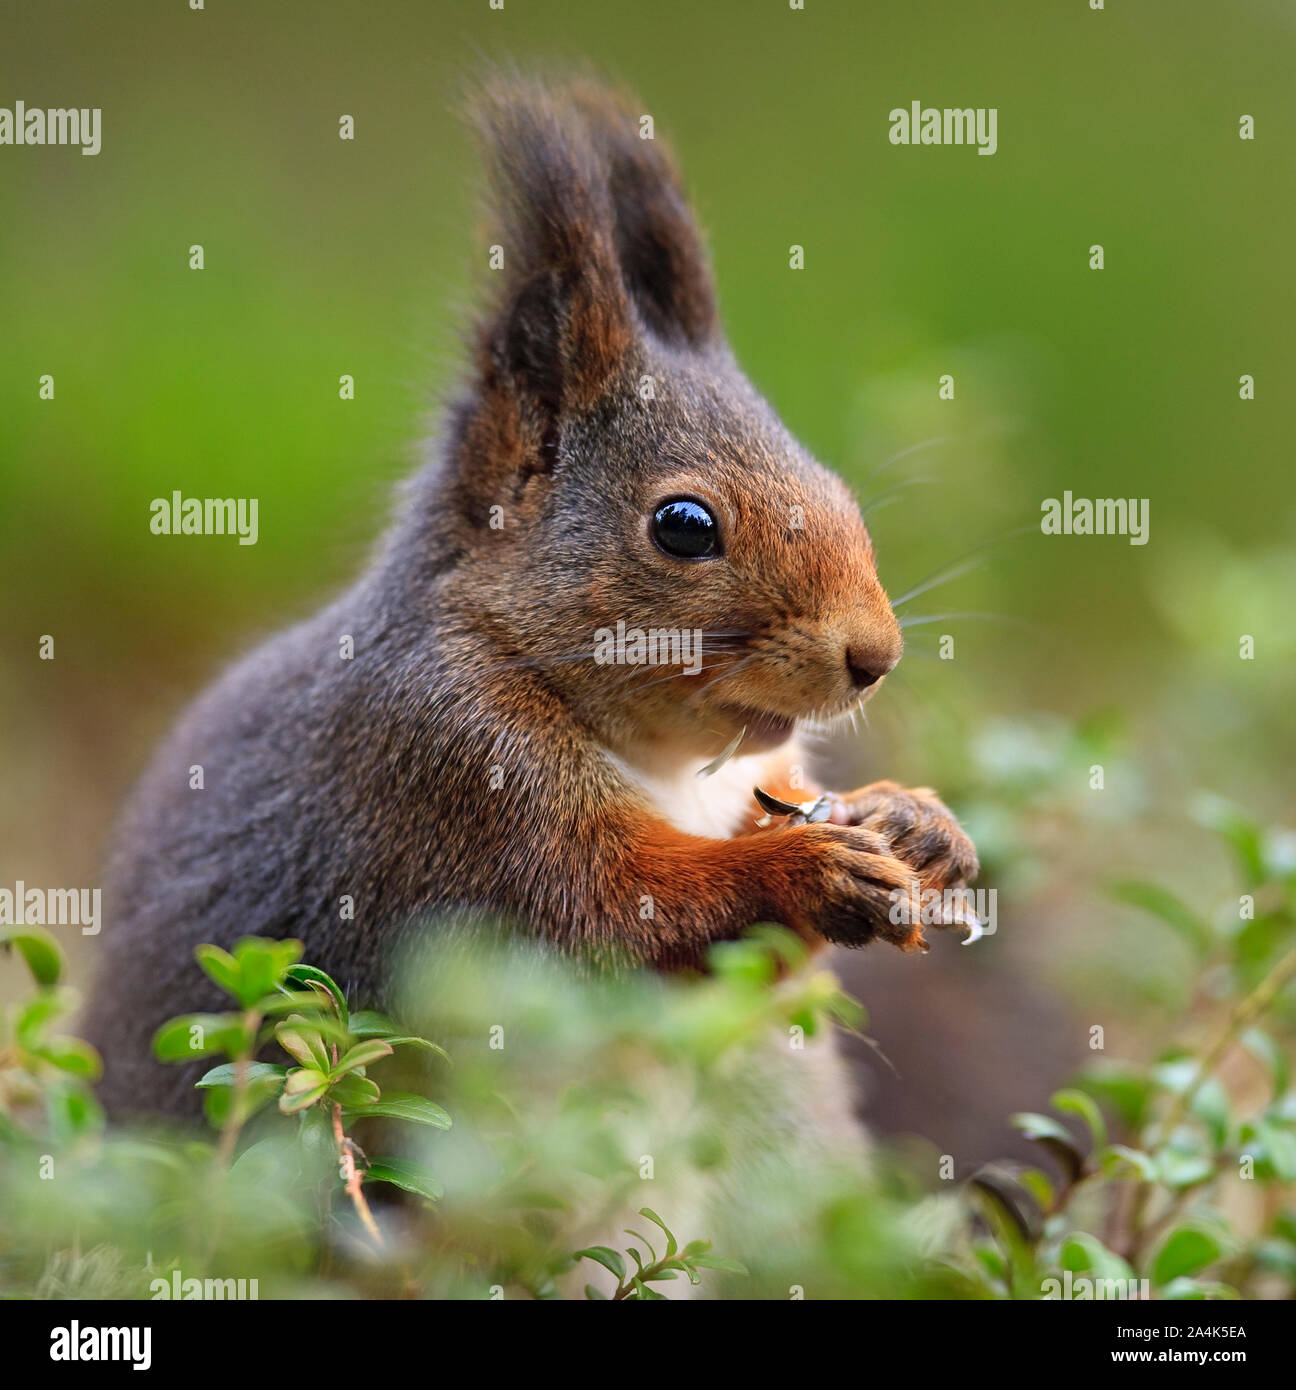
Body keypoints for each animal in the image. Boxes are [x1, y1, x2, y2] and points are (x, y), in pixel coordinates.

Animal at [83, 78, 978, 1118]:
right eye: (683, 525)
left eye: (839, 491)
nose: (875, 658)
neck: (665, 762)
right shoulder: (445, 773)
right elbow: (608, 918)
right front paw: (806, 868)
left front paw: (913, 820)